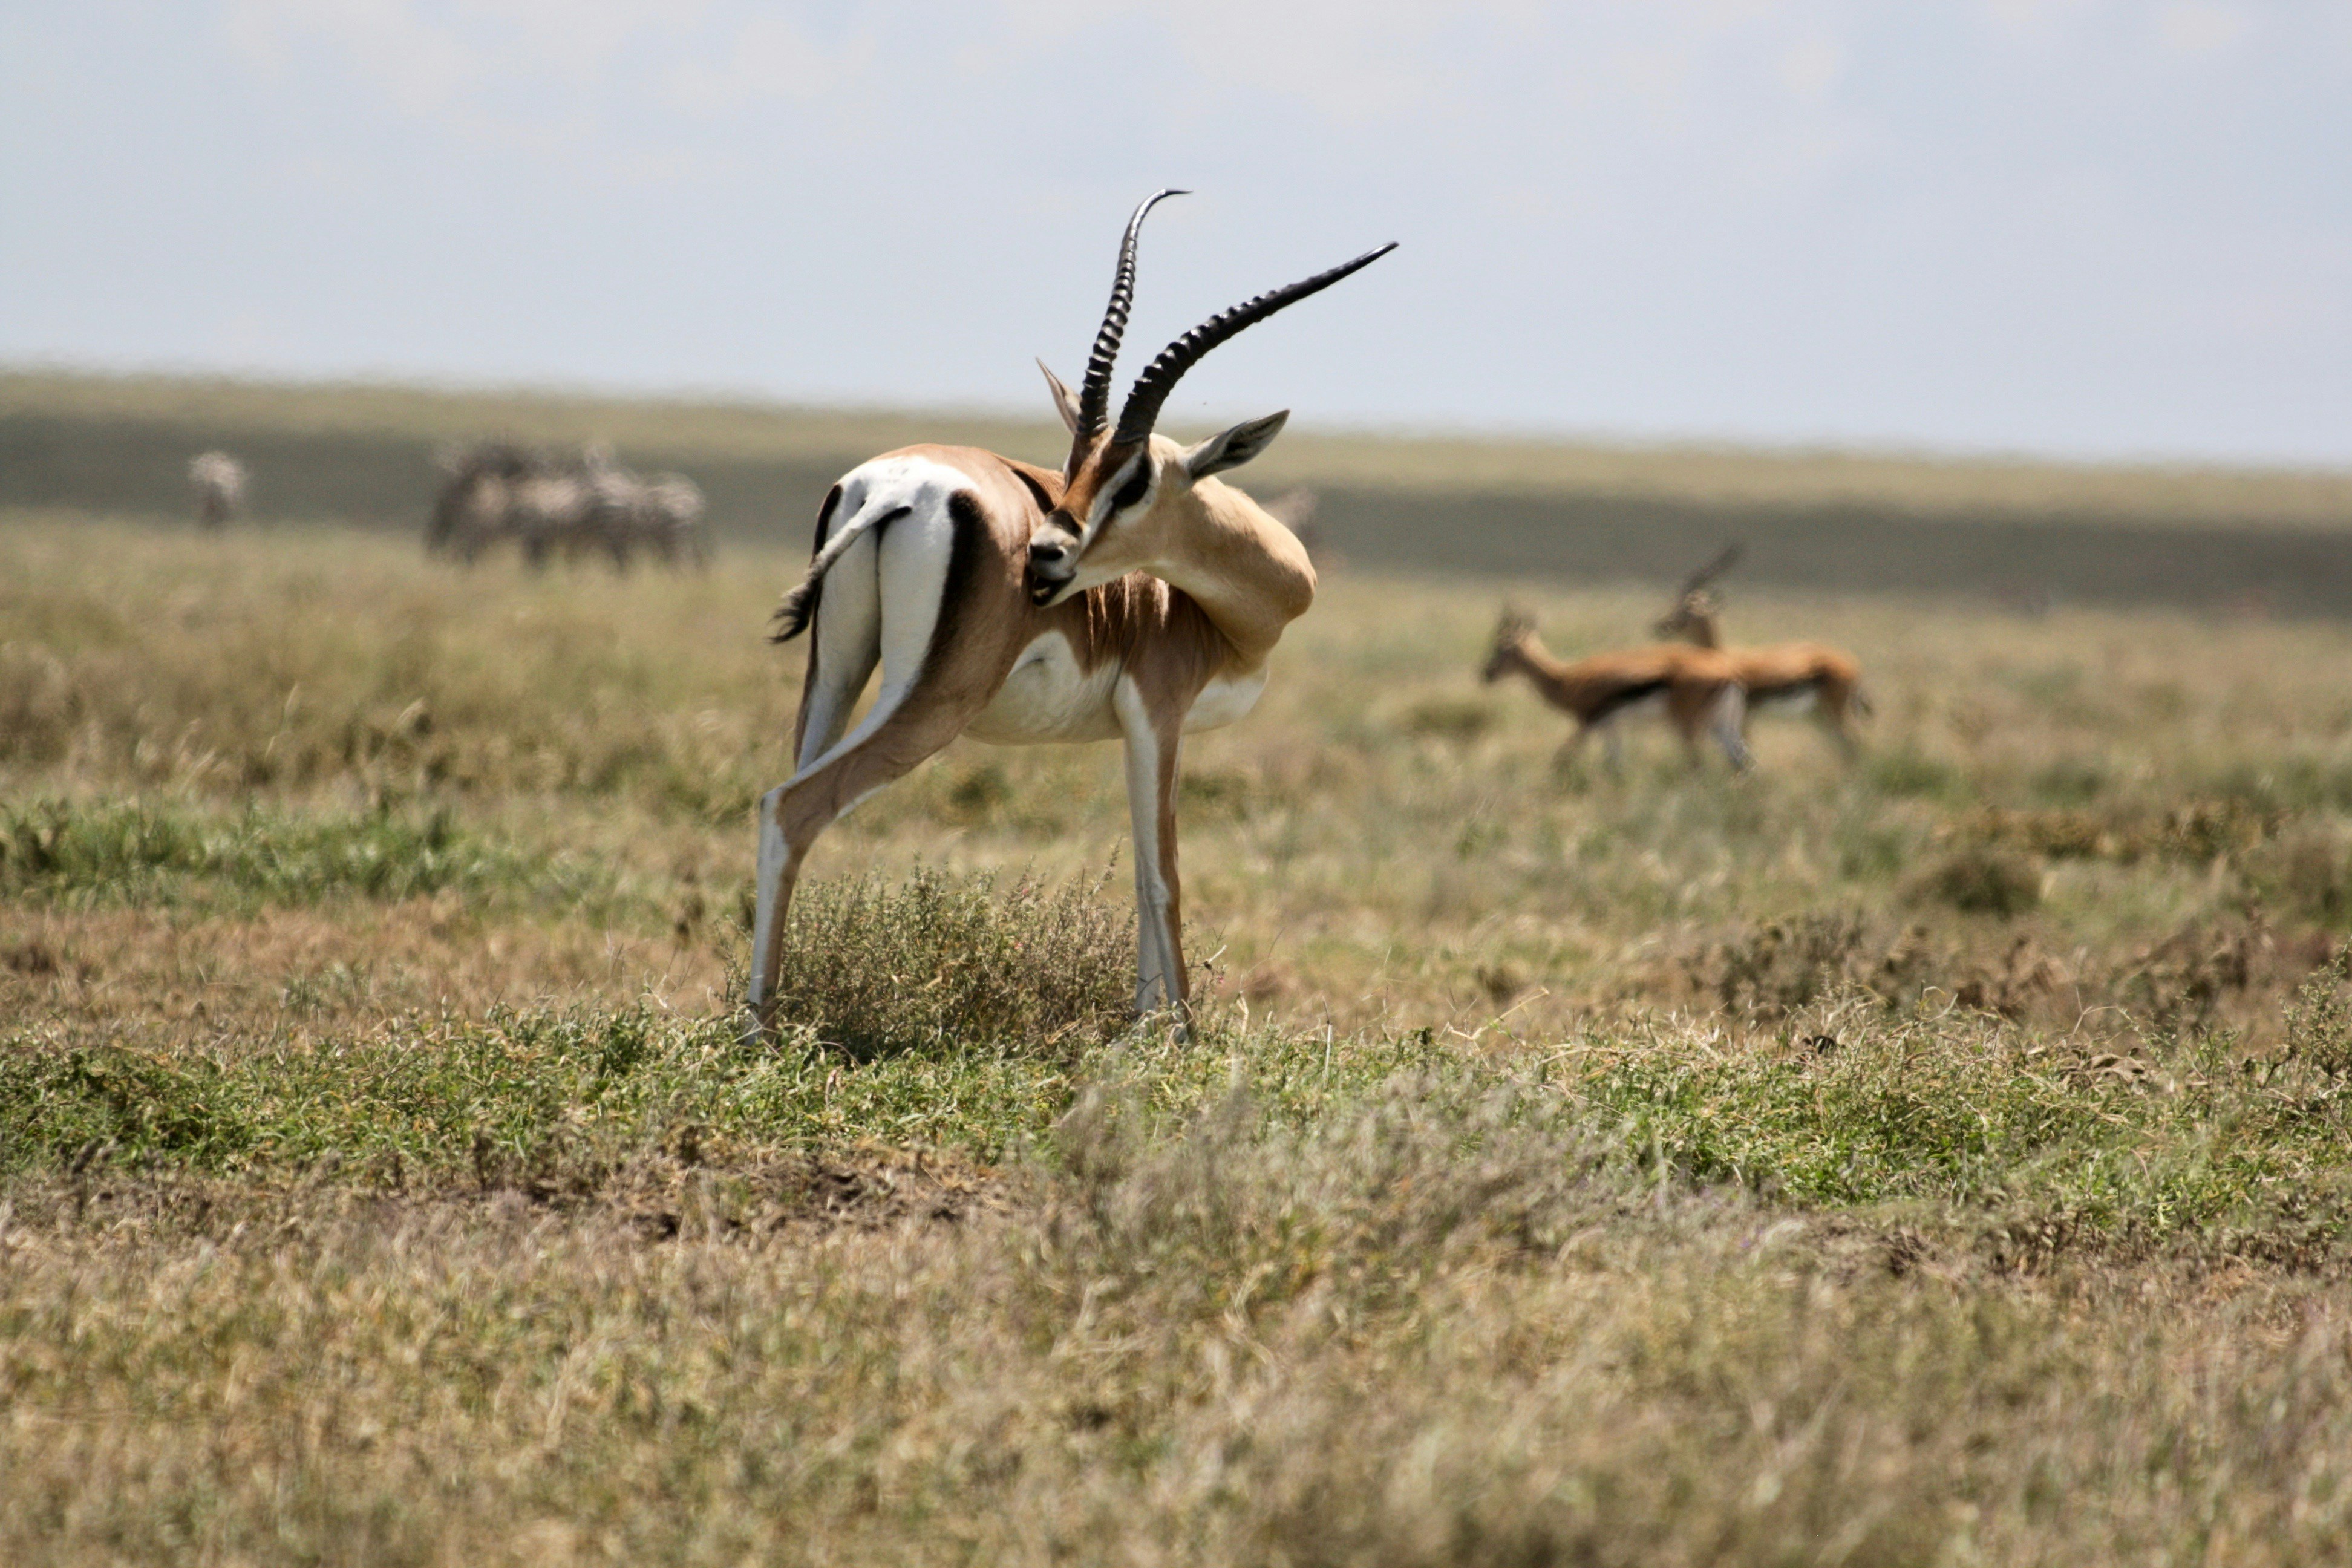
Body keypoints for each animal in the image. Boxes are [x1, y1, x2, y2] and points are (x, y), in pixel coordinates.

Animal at [745, 190, 1393, 1043]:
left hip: (836, 673)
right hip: (933, 696)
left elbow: (1141, 871)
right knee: (794, 806)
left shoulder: (1139, 731)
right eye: (1076, 467)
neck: (1213, 607)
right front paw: (1180, 1036)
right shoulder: (1159, 712)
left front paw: (1143, 1025)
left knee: (781, 804)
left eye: (1130, 476)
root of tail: (893, 487)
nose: (1045, 554)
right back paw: (758, 1032)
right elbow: (1163, 877)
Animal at [1481, 608, 1753, 774]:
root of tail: (1730, 675)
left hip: (1688, 728)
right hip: (1721, 727)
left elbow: (1562, 757)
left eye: (1504, 647)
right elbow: (1613, 766)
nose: (1487, 674)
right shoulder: (1610, 728)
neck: (1568, 679)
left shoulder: (1587, 722)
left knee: (1698, 765)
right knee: (1743, 761)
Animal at [1653, 545, 1868, 758]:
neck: (1724, 657)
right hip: (1821, 716)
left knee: (1854, 741)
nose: (1662, 626)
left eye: (1688, 609)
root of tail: (1852, 664)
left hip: (1836, 711)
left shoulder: (1746, 716)